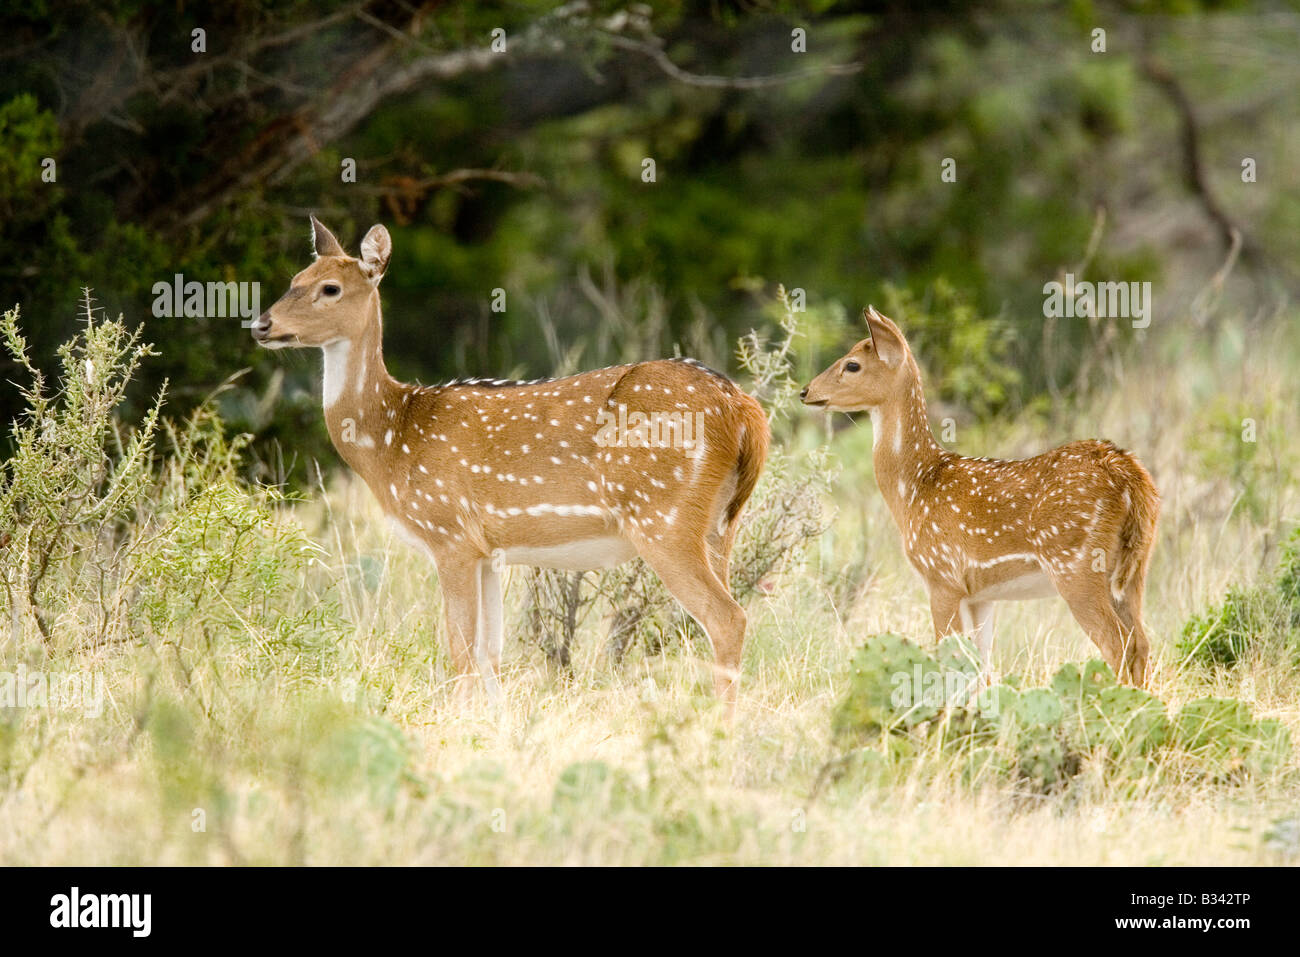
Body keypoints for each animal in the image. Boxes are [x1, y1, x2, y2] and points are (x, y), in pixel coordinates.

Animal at [251, 217, 770, 710]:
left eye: (329, 288)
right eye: (294, 278)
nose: (260, 325)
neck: (393, 440)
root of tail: (744, 409)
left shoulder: (449, 533)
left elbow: (460, 650)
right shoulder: (489, 552)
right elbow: (491, 653)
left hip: (663, 516)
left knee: (727, 618)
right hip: (720, 522)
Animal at [801, 306, 1158, 685]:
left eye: (852, 365)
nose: (806, 391)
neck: (914, 489)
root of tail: (1128, 474)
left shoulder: (941, 575)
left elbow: (952, 661)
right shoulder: (981, 594)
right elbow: (982, 667)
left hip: (1076, 563)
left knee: (1117, 643)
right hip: (1136, 566)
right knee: (1142, 643)